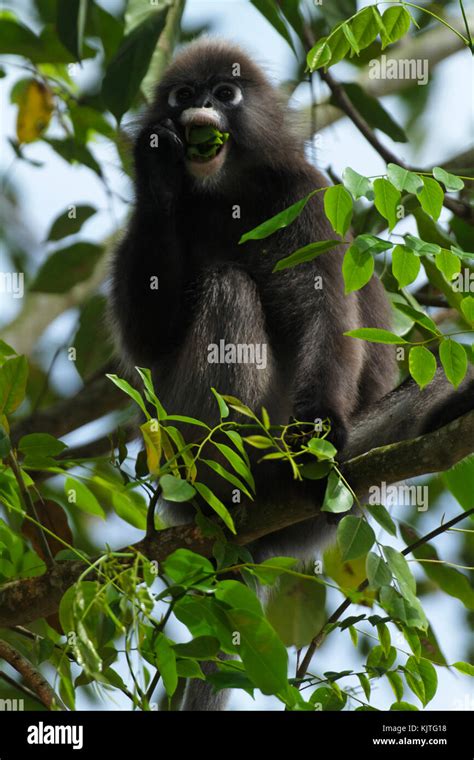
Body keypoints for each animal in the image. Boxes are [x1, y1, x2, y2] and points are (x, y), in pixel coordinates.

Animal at [109, 38, 472, 710]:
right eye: (183, 94)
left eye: (225, 93)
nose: (198, 109)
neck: (223, 189)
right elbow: (149, 336)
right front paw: (157, 168)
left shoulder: (304, 194)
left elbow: (322, 310)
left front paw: (319, 428)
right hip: (179, 453)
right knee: (229, 287)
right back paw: (226, 488)